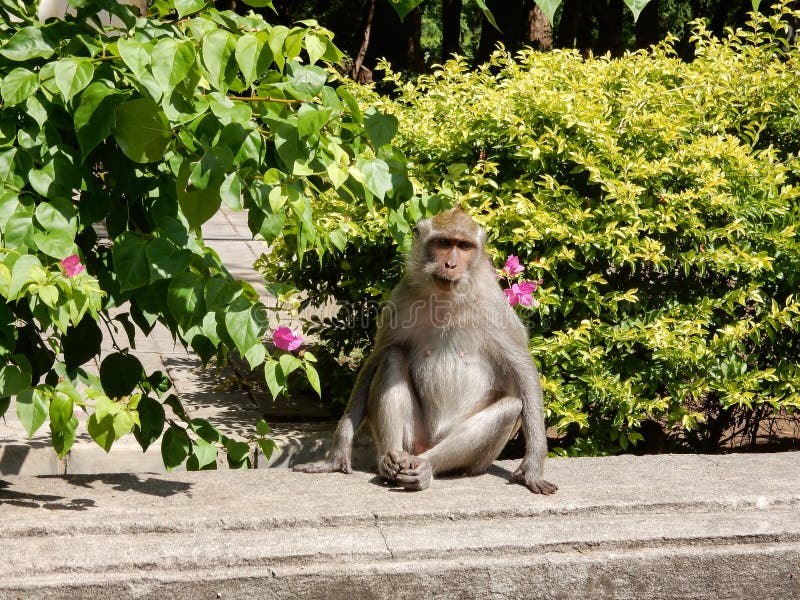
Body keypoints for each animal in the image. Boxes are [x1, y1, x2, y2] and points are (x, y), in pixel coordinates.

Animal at [293, 207, 557, 494]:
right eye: (443, 243)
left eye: (464, 246)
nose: (451, 265)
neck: (446, 298)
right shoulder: (400, 299)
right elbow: (377, 357)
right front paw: (338, 453)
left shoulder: (494, 306)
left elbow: (522, 368)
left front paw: (533, 466)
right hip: (415, 437)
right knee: (392, 357)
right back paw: (391, 461)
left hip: (474, 460)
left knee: (511, 405)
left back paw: (425, 468)